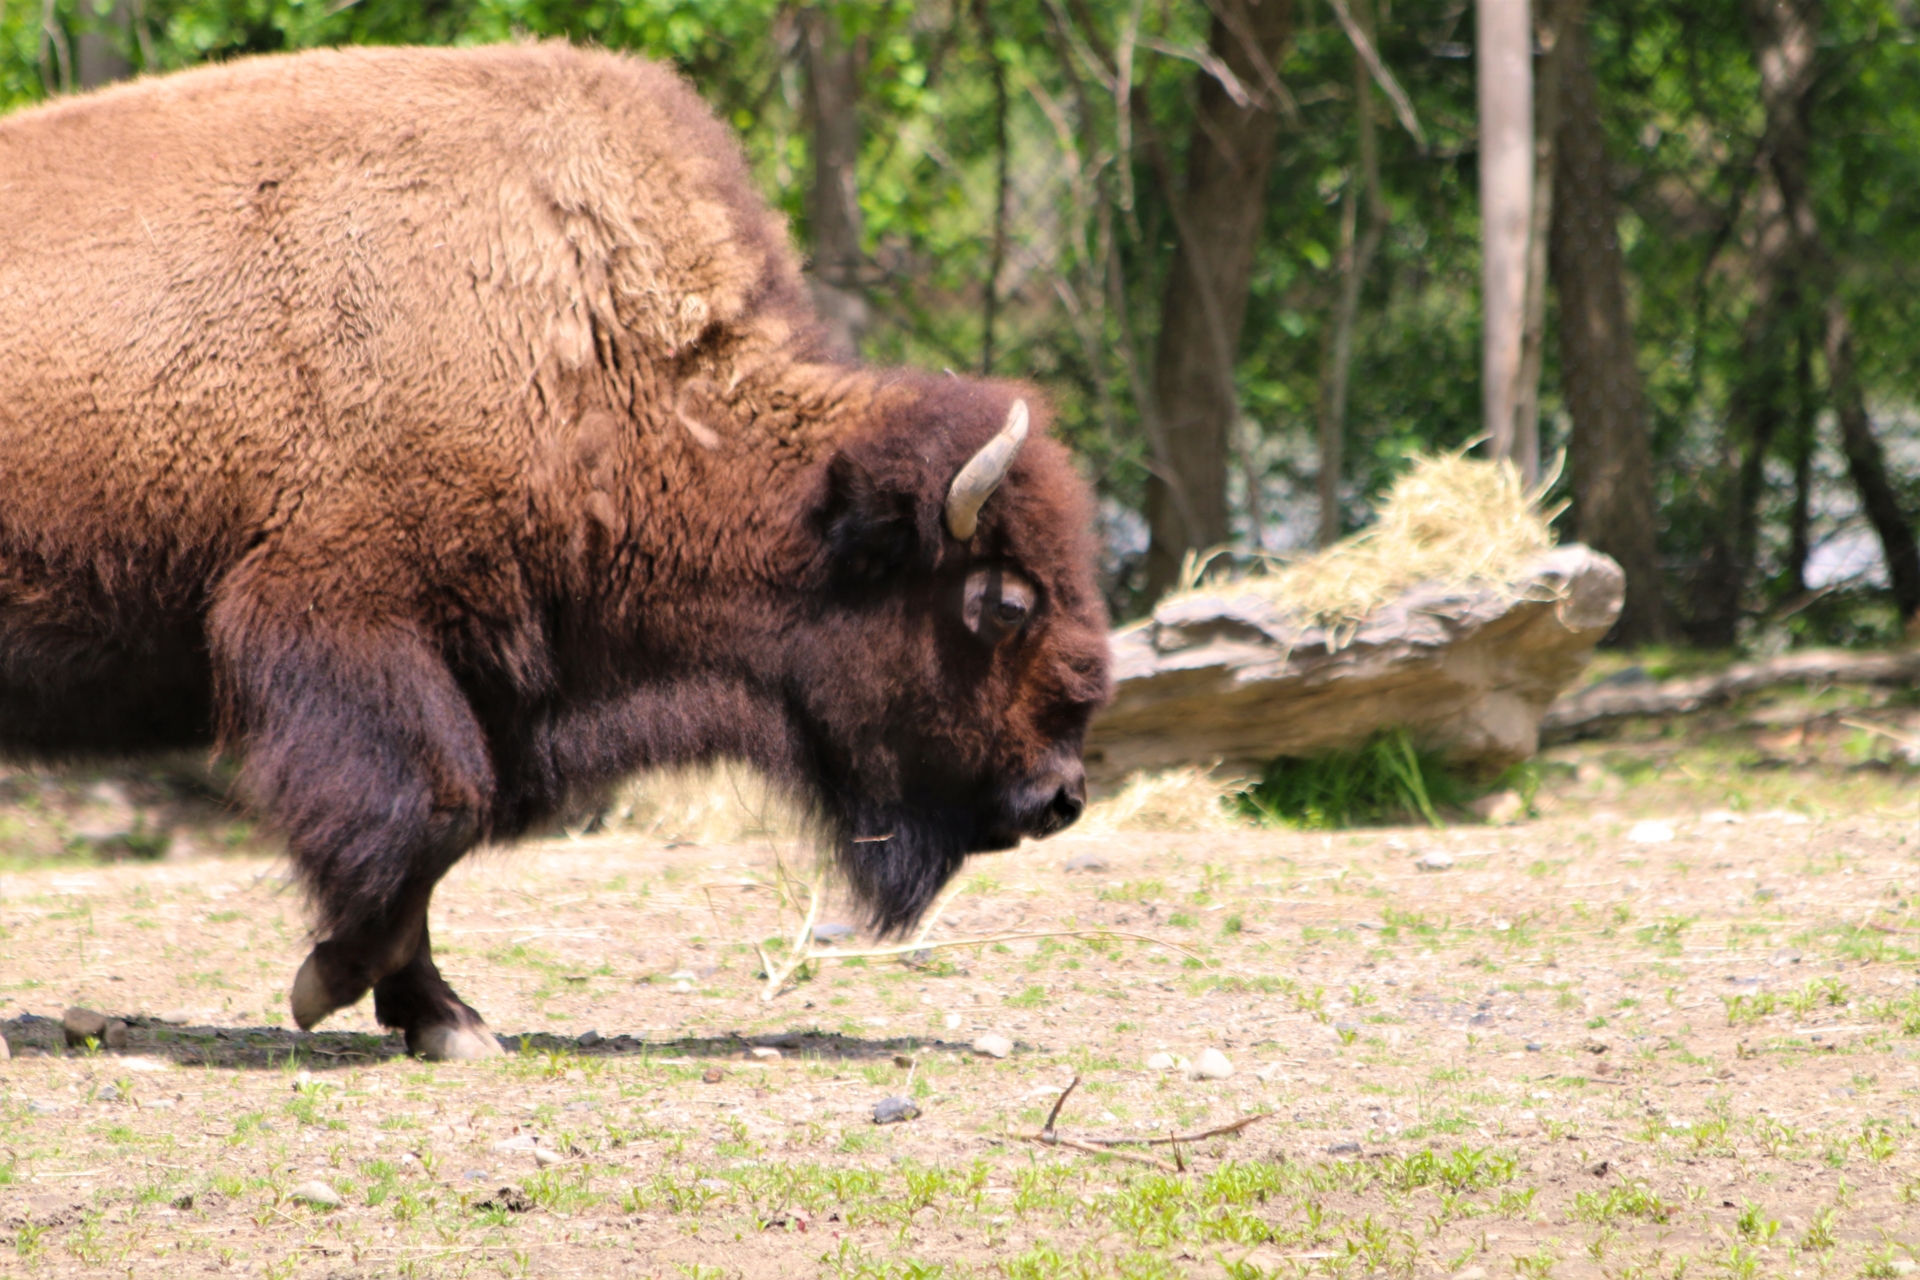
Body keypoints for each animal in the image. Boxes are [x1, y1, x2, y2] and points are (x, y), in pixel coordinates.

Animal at [0, 43, 1111, 1059]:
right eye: (1005, 601)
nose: (1062, 795)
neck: (590, 338)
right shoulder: (340, 618)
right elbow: (433, 811)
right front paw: (332, 985)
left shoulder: (483, 667)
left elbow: (442, 833)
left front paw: (443, 1019)